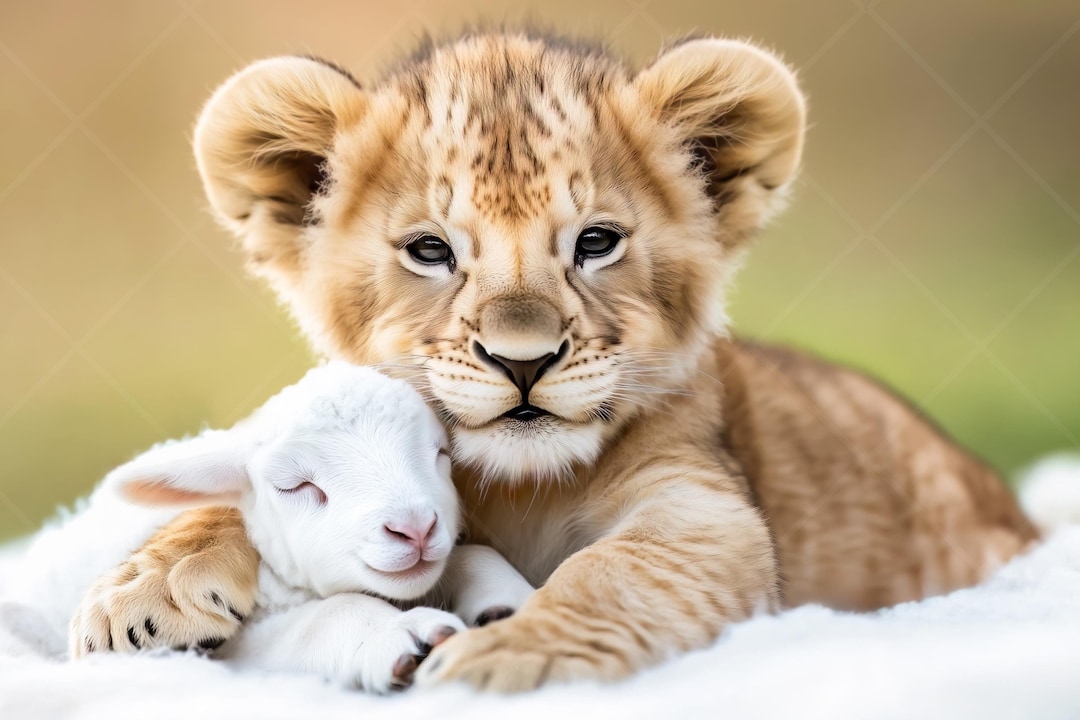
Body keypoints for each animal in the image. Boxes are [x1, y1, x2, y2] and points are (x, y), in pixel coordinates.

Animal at [15, 362, 533, 692]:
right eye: (294, 485)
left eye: (440, 454)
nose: (415, 528)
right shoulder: (234, 649)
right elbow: (326, 616)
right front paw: (399, 634)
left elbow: (474, 554)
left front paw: (511, 608)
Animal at [69, 32, 1039, 691]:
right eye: (430, 251)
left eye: (596, 243)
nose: (523, 360)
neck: (520, 489)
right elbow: (223, 496)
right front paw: (141, 590)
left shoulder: (703, 509)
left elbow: (614, 577)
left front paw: (497, 658)